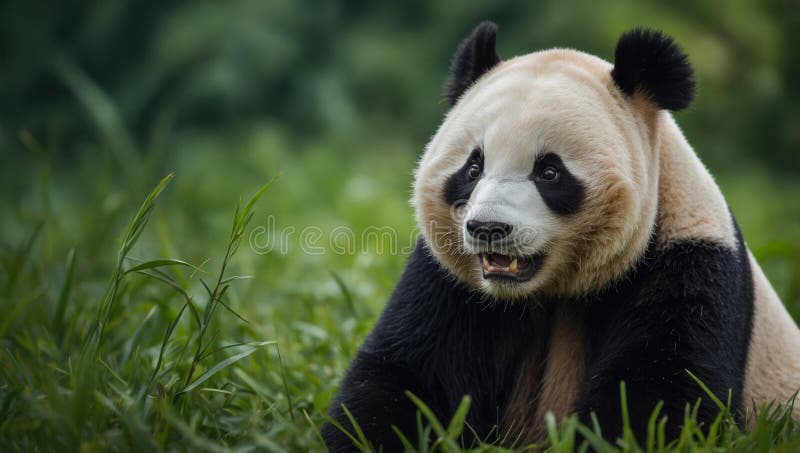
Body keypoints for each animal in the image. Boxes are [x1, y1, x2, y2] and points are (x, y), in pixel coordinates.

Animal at [322, 22, 800, 451]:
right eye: (473, 168)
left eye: (549, 172)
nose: (488, 229)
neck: (548, 292)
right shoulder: (450, 282)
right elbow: (410, 374)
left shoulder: (688, 258)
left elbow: (658, 396)